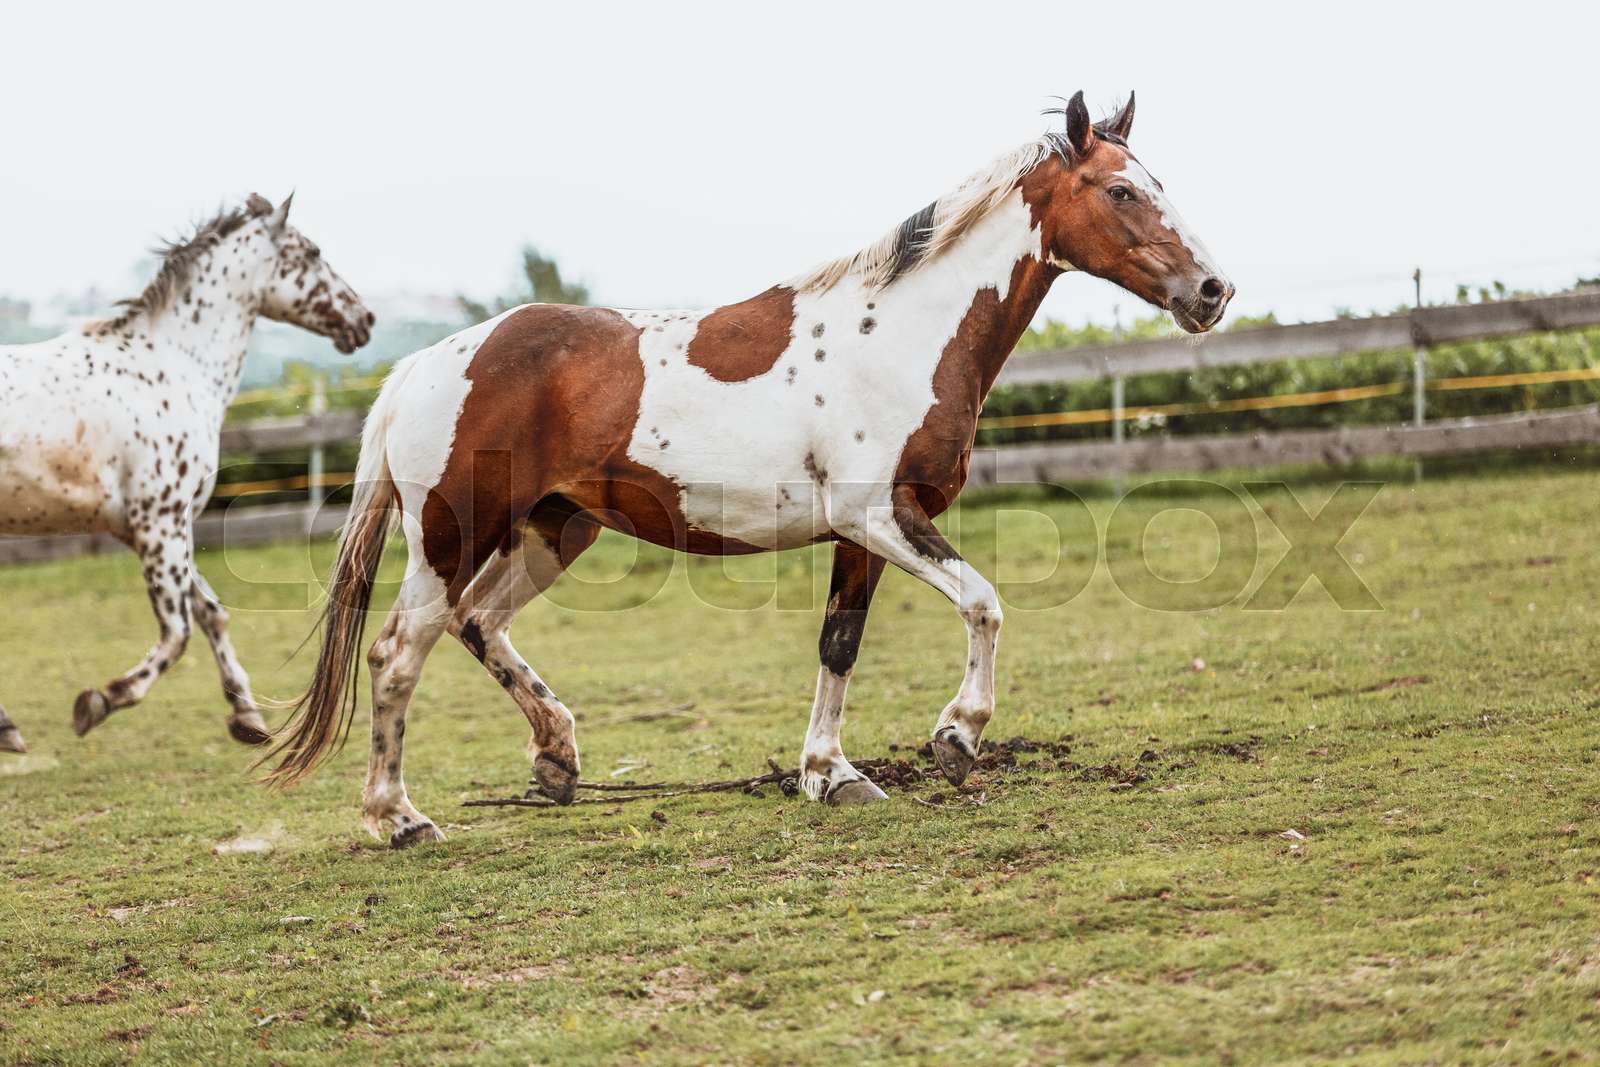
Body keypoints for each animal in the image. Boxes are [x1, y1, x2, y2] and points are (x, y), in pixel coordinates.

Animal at [0, 194, 374, 755]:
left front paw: (248, 719)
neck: (174, 368)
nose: (363, 318)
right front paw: (99, 701)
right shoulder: (159, 523)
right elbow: (177, 631)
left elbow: (210, 611)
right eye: (312, 252)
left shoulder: (161, 528)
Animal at [263, 91, 1232, 848]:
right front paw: (956, 738)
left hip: (555, 529)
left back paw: (557, 757)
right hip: (451, 533)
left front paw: (831, 774)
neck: (900, 335)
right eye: (1121, 189)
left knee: (478, 623)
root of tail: (421, 368)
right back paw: (397, 818)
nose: (1213, 291)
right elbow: (985, 602)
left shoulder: (863, 534)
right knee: (399, 651)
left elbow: (840, 645)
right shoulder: (881, 514)